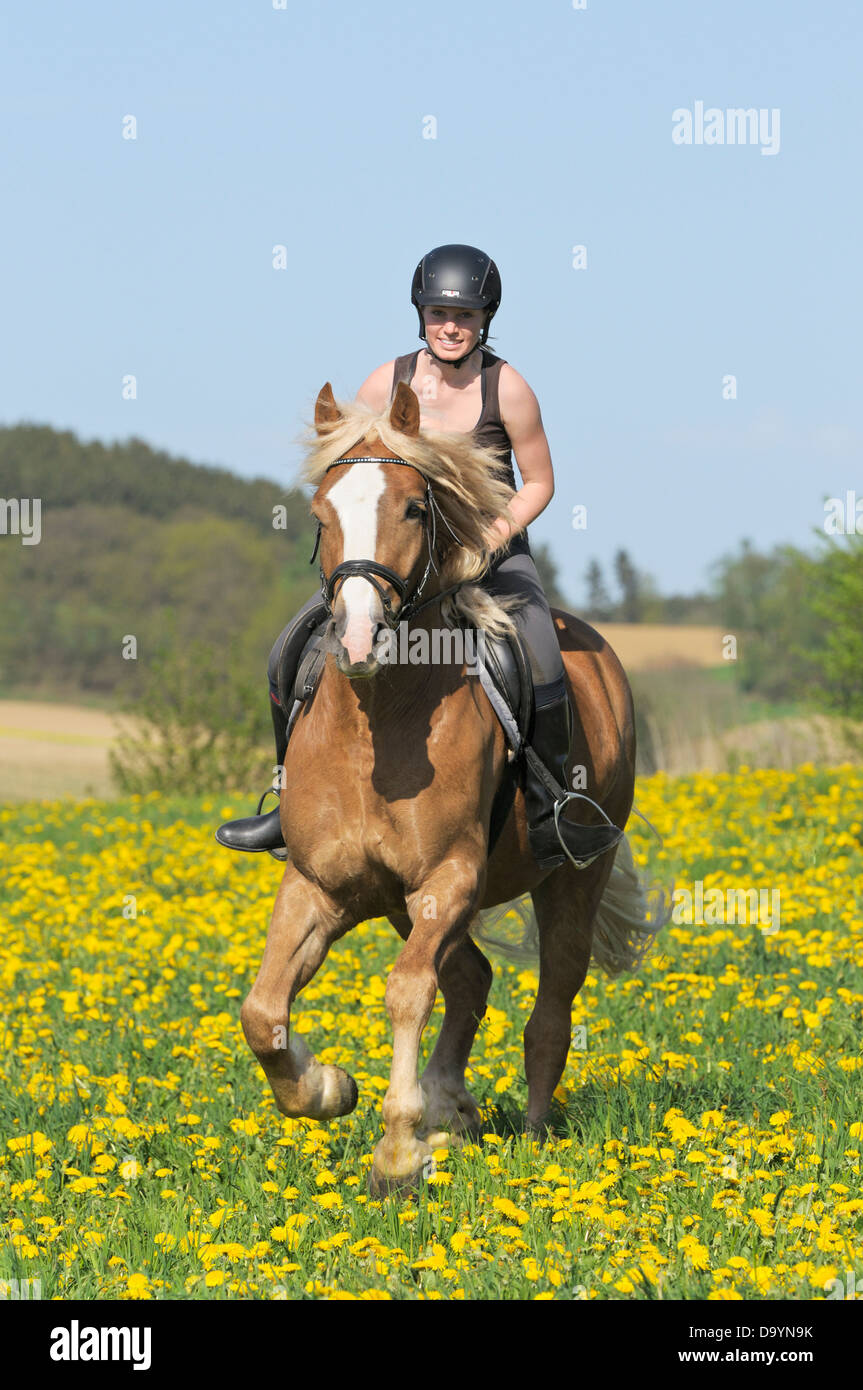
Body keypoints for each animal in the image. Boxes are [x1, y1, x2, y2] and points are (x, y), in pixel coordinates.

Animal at [238, 380, 654, 1194]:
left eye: (412, 509)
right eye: (320, 514)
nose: (358, 638)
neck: (377, 724)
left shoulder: (449, 877)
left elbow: (406, 991)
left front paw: (399, 1149)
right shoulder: (318, 885)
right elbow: (262, 1009)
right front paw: (331, 1088)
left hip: (569, 879)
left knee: (548, 1008)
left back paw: (527, 1140)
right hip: (404, 904)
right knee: (471, 978)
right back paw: (451, 1110)